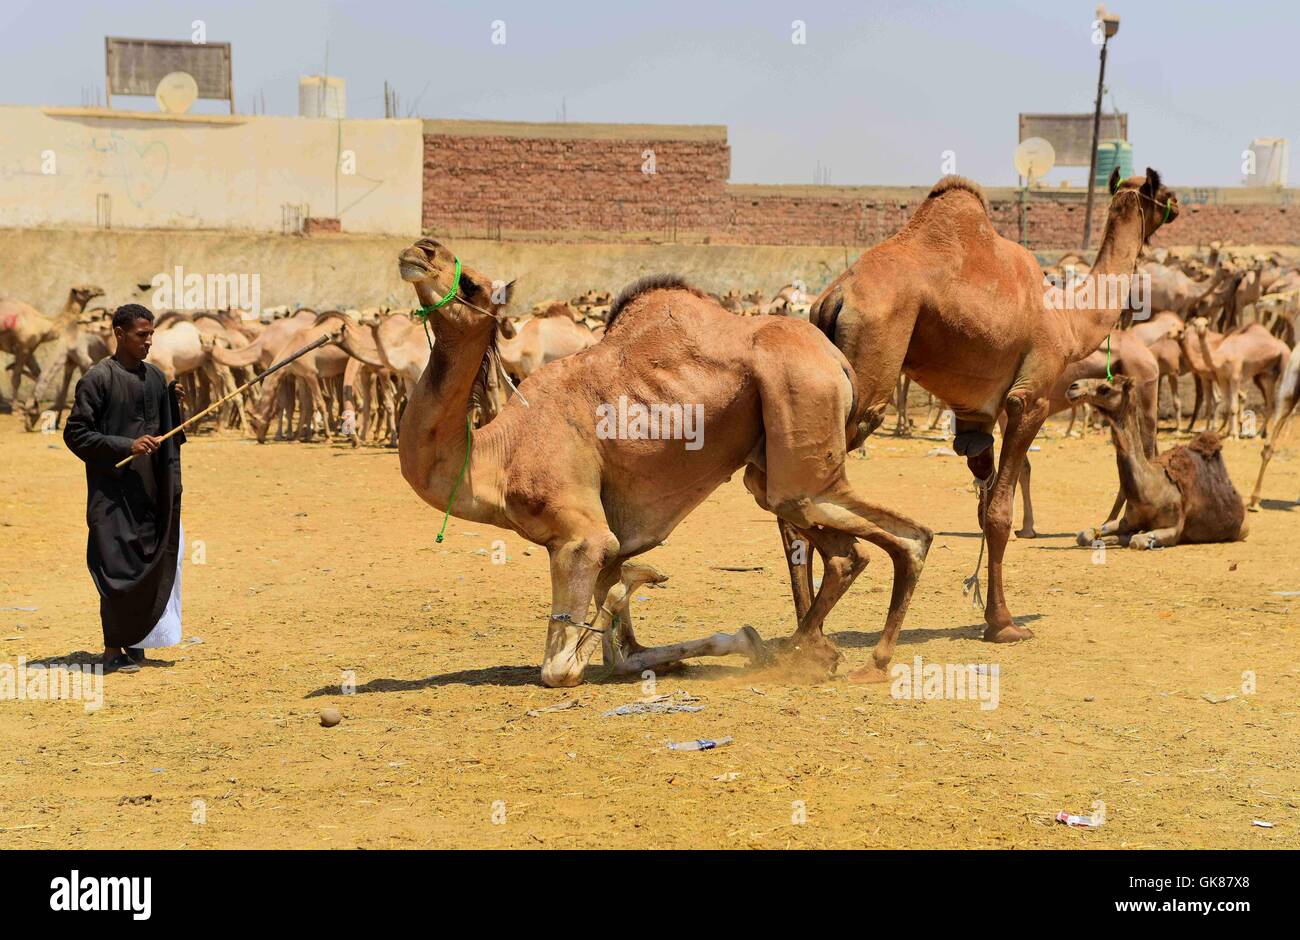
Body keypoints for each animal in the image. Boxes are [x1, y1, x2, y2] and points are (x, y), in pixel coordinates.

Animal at [396, 238, 932, 687]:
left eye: (471, 283)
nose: (420, 249)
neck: (498, 456)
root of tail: (837, 361)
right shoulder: (607, 537)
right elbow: (624, 651)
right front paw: (736, 640)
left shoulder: (581, 538)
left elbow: (561, 667)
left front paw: (647, 579)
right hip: (778, 462)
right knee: (849, 548)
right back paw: (833, 655)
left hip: (800, 412)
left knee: (897, 533)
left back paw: (821, 656)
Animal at [802, 167, 1177, 648]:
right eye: (1163, 190)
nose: (1178, 207)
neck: (1068, 319)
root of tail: (833, 299)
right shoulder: (1028, 399)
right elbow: (1000, 514)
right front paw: (1004, 624)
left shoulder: (974, 415)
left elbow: (982, 510)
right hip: (867, 379)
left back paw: (810, 626)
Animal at [1069, 376, 1248, 548]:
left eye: (1105, 388)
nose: (1073, 386)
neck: (1149, 487)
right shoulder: (1126, 521)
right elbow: (1084, 535)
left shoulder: (1174, 529)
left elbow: (1136, 541)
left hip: (1241, 530)